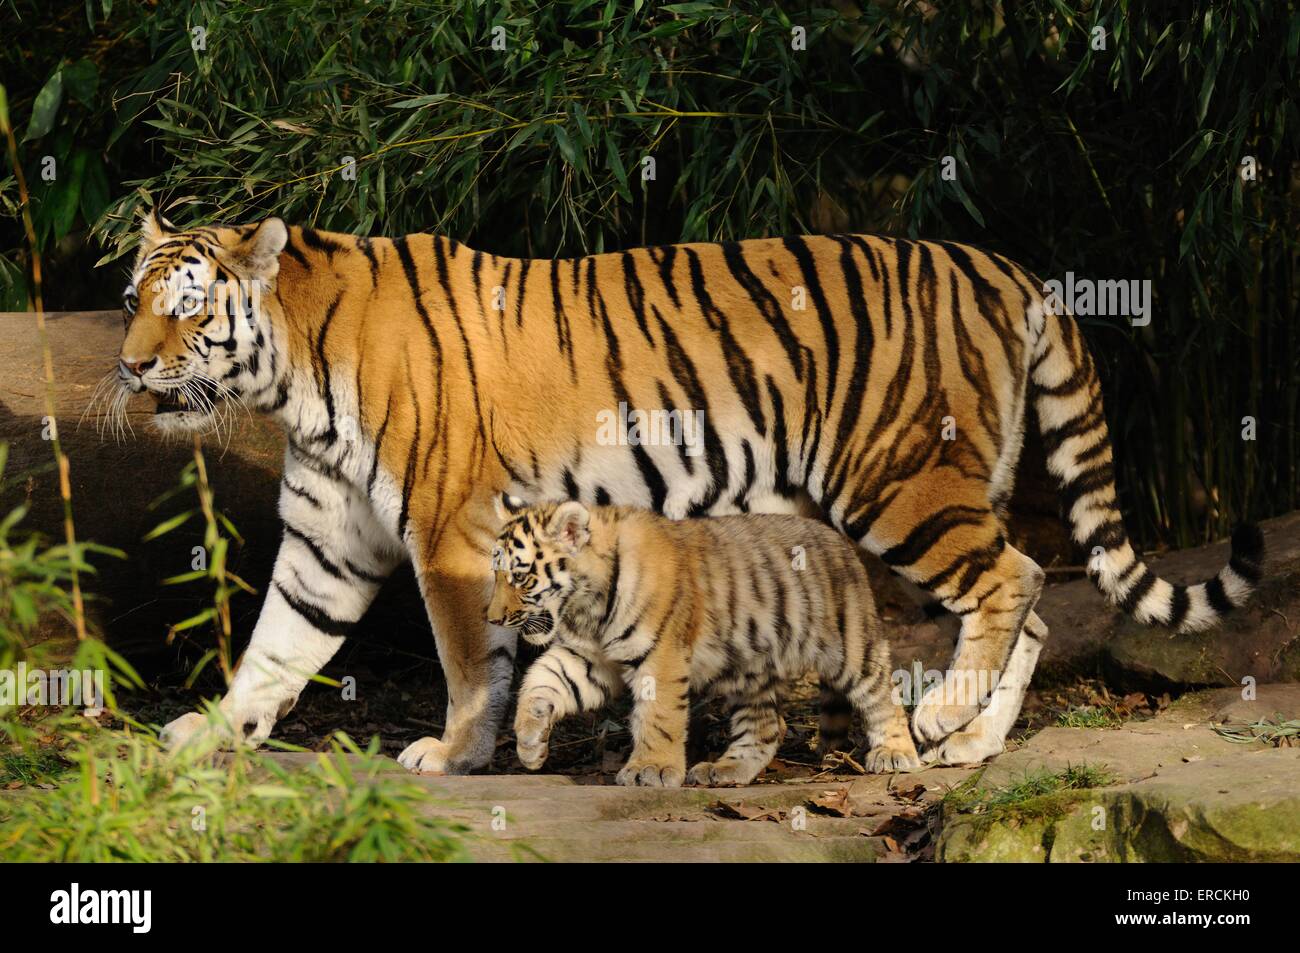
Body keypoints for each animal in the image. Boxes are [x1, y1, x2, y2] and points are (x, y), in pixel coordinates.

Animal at [487, 498, 920, 786]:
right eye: (496, 574)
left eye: (521, 577)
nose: (491, 618)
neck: (586, 607)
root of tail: (837, 539)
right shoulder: (590, 657)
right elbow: (542, 681)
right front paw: (529, 742)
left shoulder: (659, 655)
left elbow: (659, 715)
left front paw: (650, 769)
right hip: (750, 670)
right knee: (766, 727)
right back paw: (725, 770)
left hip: (850, 645)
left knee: (883, 693)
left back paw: (895, 754)